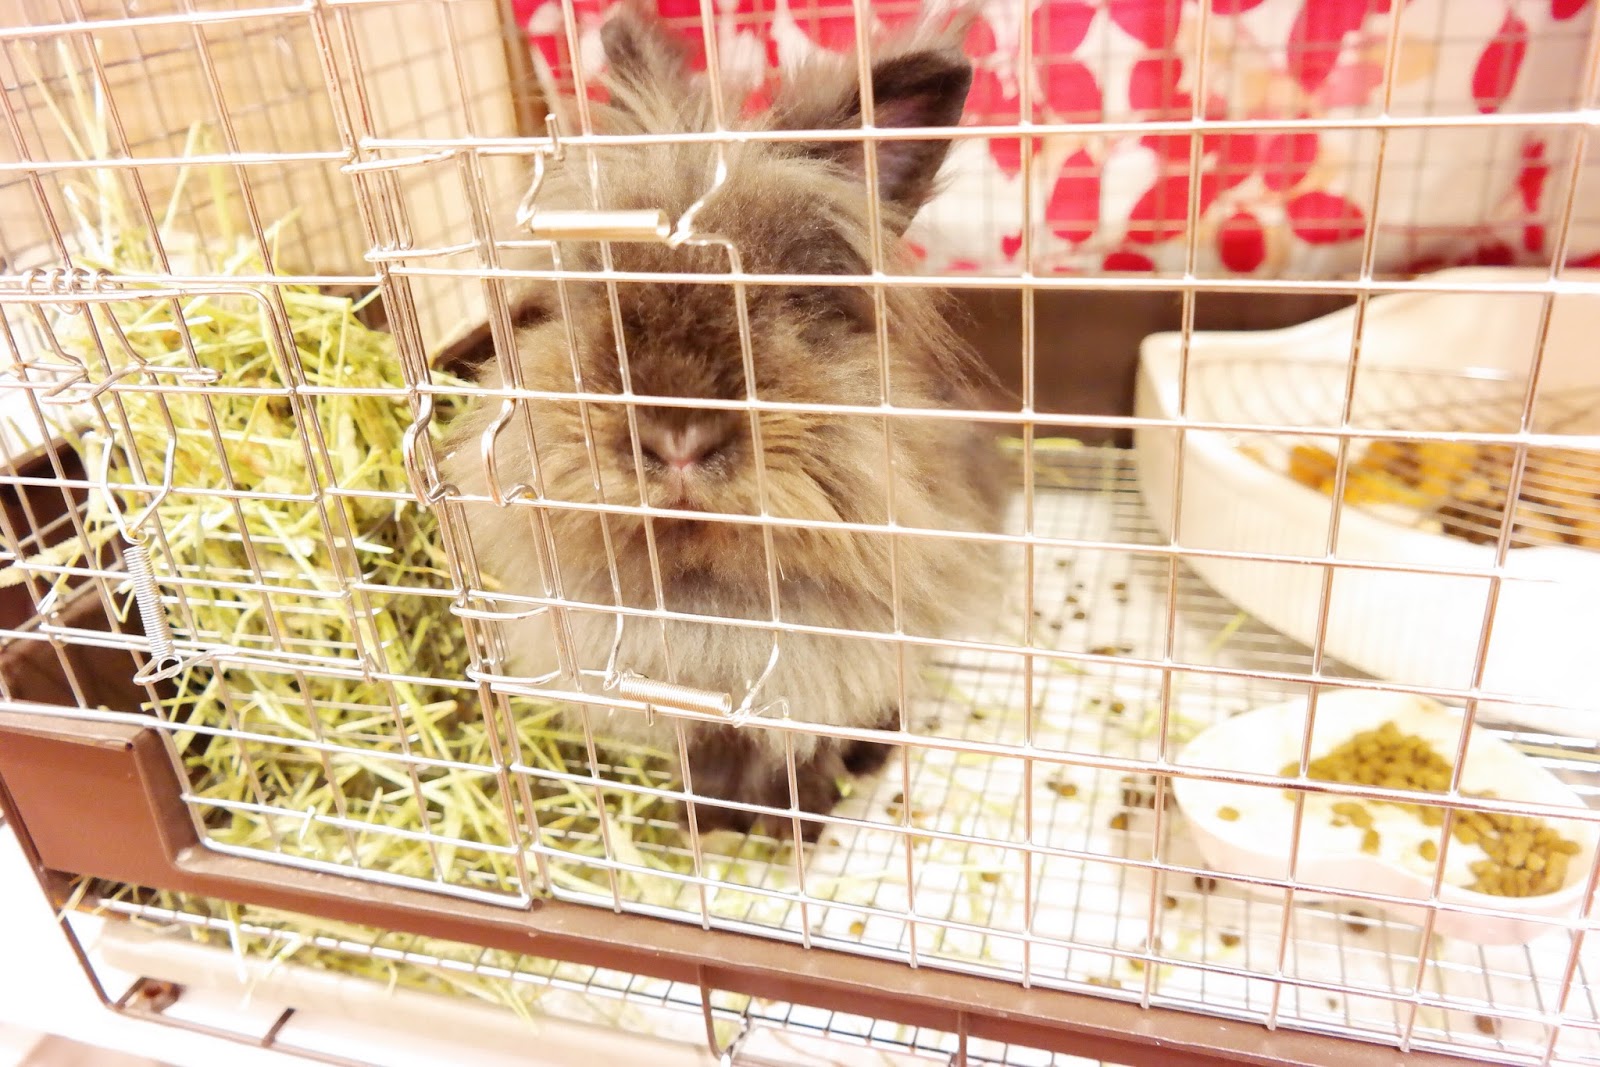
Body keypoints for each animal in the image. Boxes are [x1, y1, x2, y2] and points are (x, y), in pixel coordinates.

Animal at [439, 2, 1012, 839]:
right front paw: (701, 823)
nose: (675, 437)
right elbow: (704, 760)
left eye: (791, 300)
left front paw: (796, 828)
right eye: (593, 284)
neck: (708, 586)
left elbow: (804, 755)